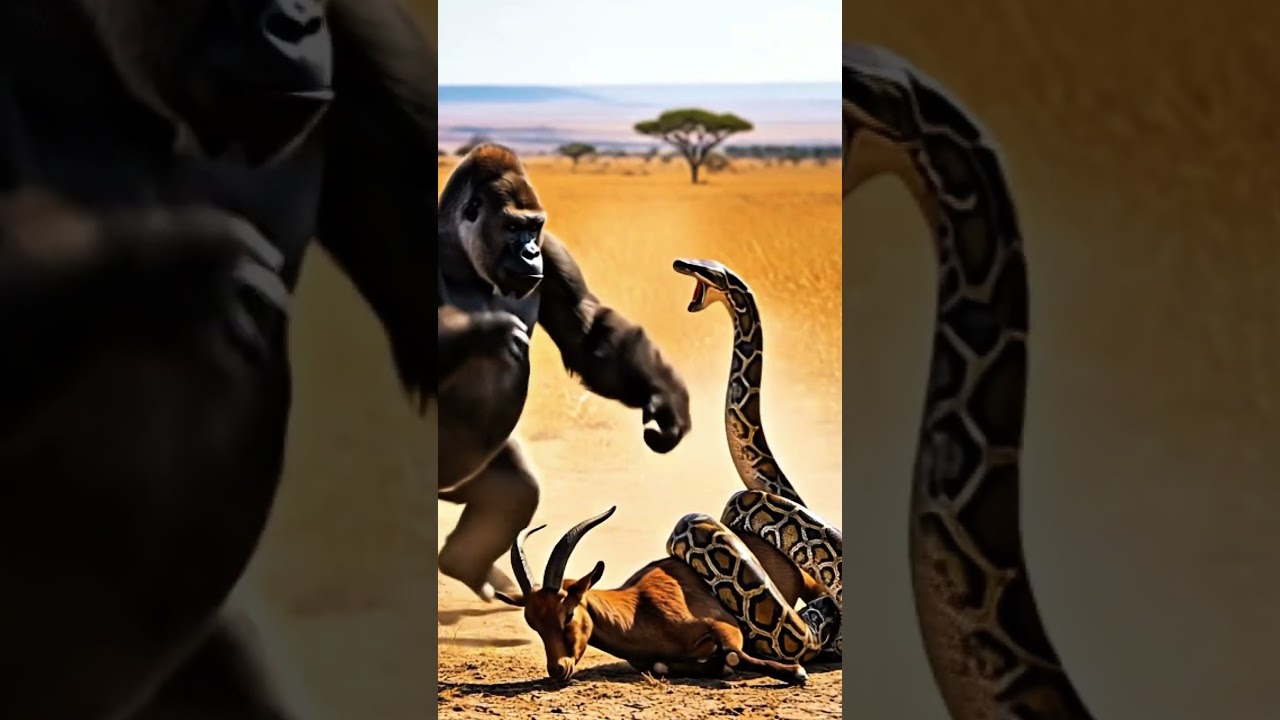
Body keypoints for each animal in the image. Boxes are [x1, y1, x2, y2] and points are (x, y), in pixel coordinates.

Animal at [435, 144, 692, 600]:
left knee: (516, 491)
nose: (529, 252)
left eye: (534, 229)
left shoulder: (553, 255)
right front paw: (488, 330)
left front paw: (666, 401)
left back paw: (467, 566)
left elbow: (588, 336)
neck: (461, 257)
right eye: (513, 228)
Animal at [493, 506, 827, 685]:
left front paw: (796, 672)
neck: (640, 611)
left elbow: (733, 653)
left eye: (569, 613)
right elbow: (661, 666)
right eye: (533, 623)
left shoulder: (725, 625)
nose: (558, 669)